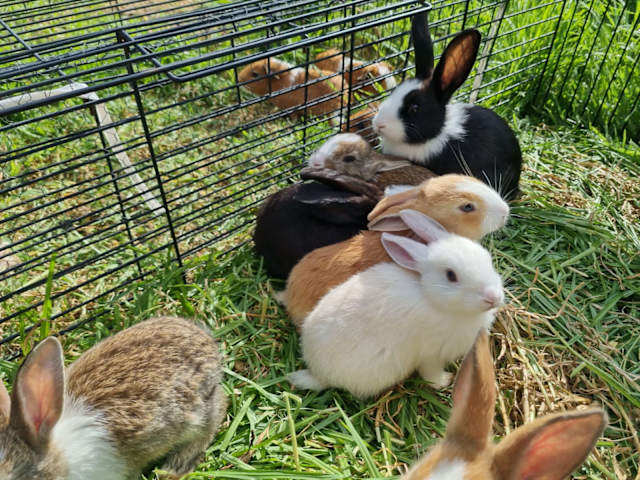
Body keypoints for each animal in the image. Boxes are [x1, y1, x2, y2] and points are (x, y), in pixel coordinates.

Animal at [288, 213, 504, 398]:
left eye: (487, 258)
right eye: (451, 275)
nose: (493, 297)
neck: (434, 300)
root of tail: (318, 373)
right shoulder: (431, 355)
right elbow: (431, 374)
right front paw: (445, 381)